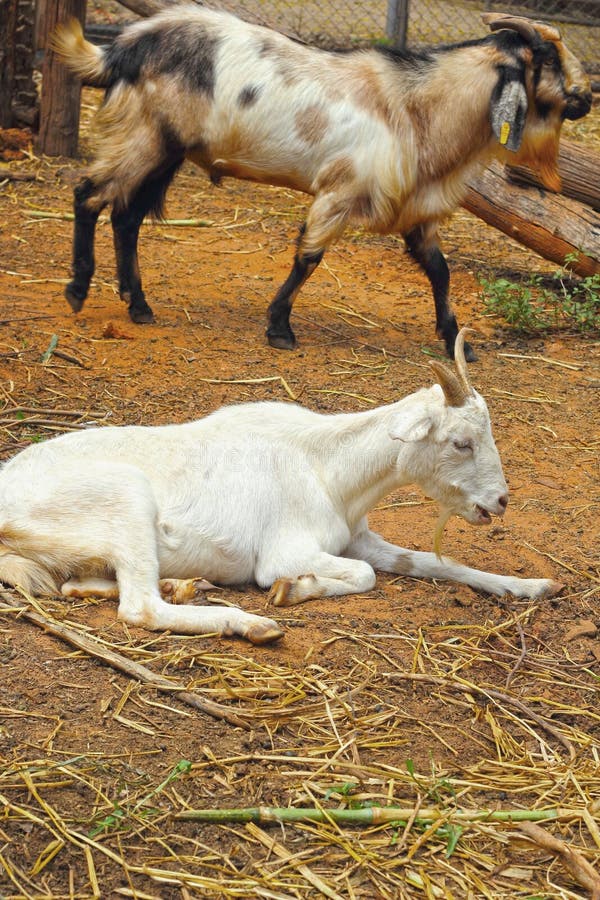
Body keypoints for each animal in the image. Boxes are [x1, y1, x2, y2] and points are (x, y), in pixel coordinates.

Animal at [0, 332, 562, 643]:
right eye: (461, 442)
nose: (499, 501)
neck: (328, 470)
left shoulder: (358, 537)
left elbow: (436, 562)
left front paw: (533, 586)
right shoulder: (285, 550)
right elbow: (361, 577)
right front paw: (294, 590)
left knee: (87, 585)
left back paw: (174, 584)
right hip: (126, 497)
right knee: (139, 607)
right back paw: (247, 623)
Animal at [51, 9, 591, 361]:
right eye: (547, 58)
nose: (586, 97)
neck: (413, 106)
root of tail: (123, 48)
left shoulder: (414, 209)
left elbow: (439, 270)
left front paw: (458, 339)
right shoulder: (338, 191)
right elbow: (308, 257)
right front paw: (279, 328)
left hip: (165, 151)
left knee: (126, 216)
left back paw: (138, 304)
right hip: (144, 139)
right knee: (89, 195)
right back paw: (77, 289)